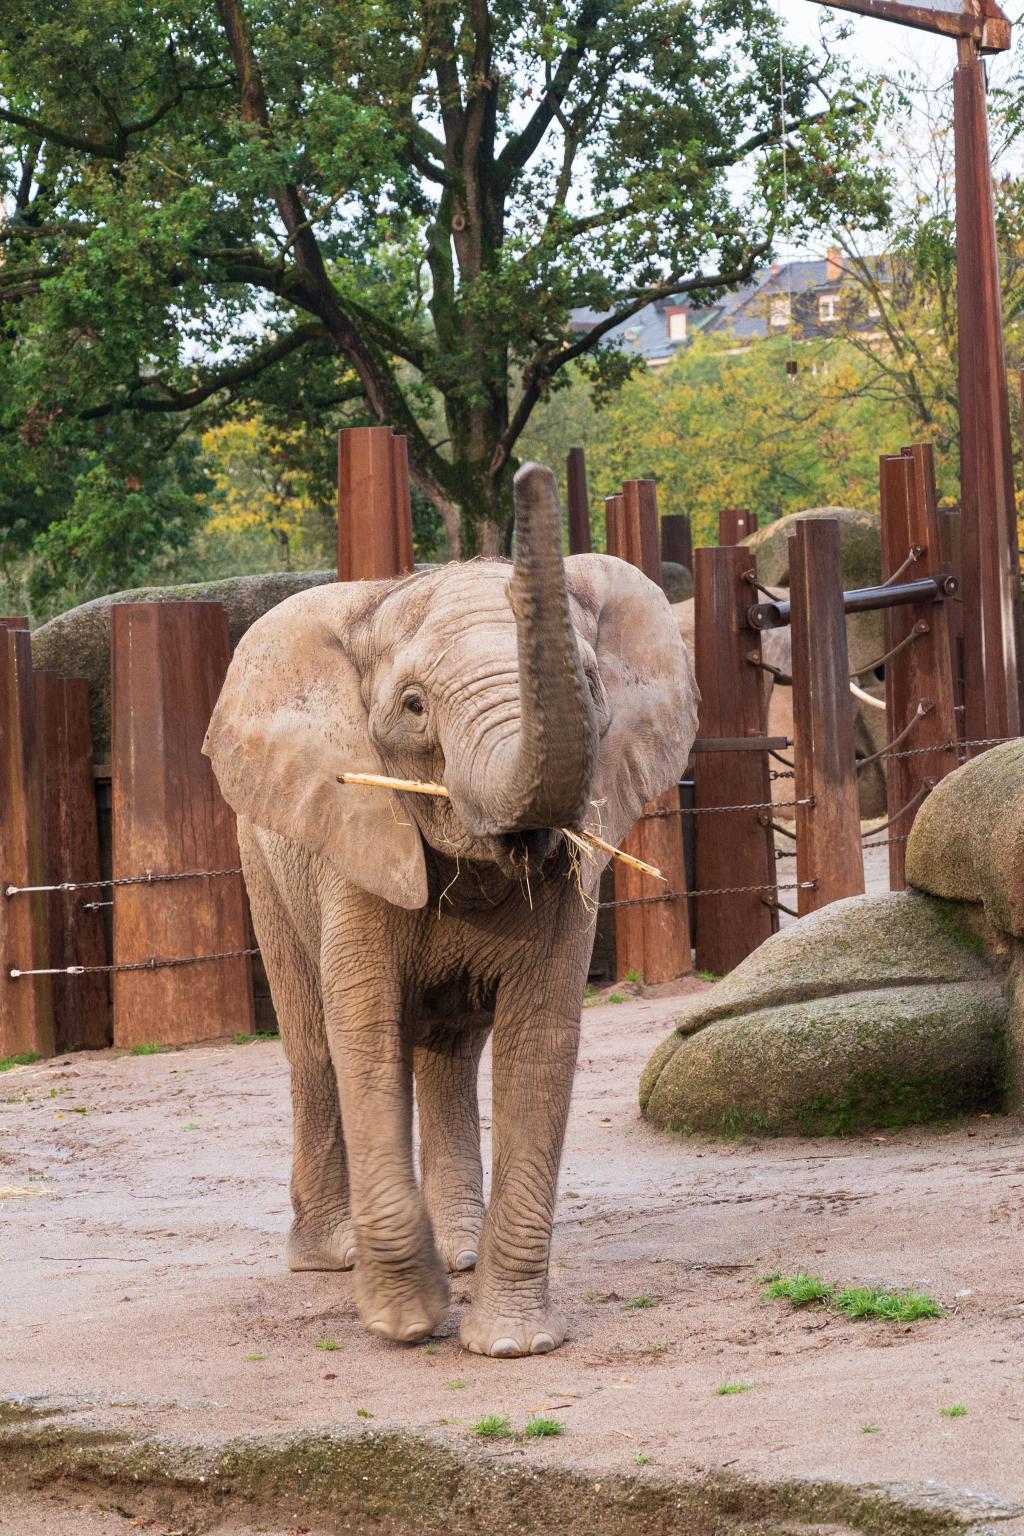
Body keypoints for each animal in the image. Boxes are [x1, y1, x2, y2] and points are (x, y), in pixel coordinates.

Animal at [204, 463, 696, 1358]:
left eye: (593, 682)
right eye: (413, 706)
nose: (530, 475)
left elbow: (541, 1036)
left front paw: (512, 1345)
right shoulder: (352, 842)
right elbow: (362, 1032)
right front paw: (405, 1325)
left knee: (449, 1050)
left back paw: (459, 1247)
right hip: (261, 858)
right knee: (314, 1045)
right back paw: (332, 1256)